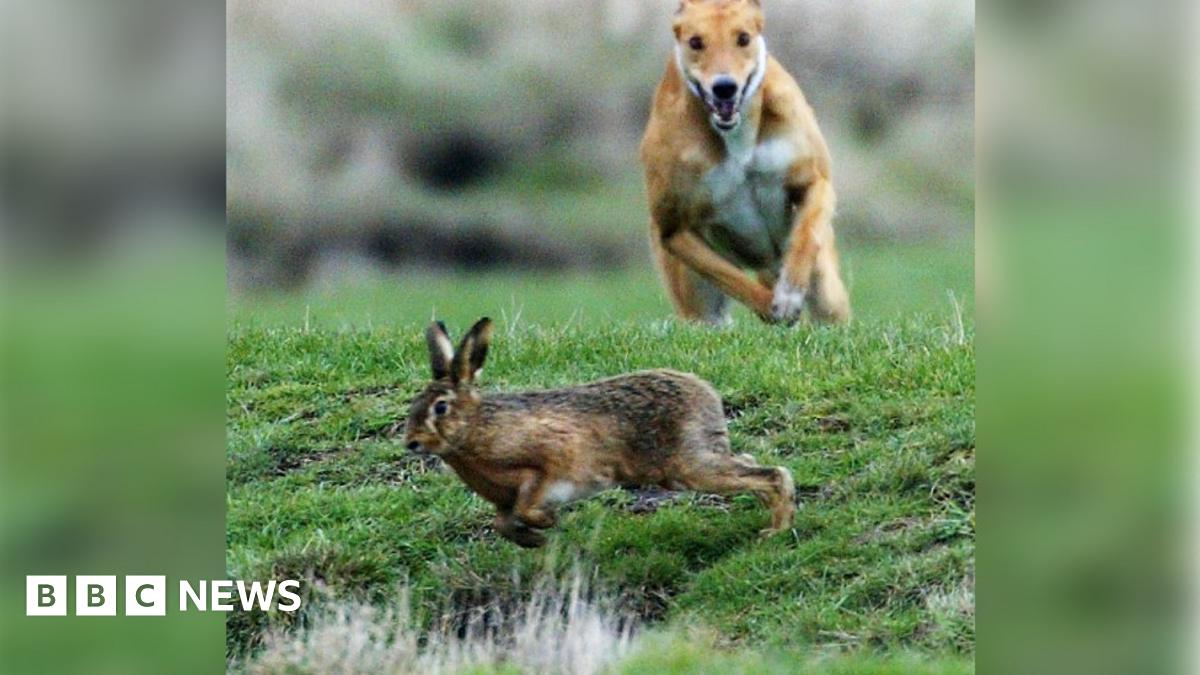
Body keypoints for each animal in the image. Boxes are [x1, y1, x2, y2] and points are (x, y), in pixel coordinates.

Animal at [403, 317, 796, 548]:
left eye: (441, 407)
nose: (412, 443)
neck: (476, 430)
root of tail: (707, 394)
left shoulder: (553, 460)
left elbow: (530, 502)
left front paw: (547, 522)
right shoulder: (503, 502)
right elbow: (502, 523)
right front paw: (533, 540)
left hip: (688, 466)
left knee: (774, 473)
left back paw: (776, 528)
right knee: (748, 462)